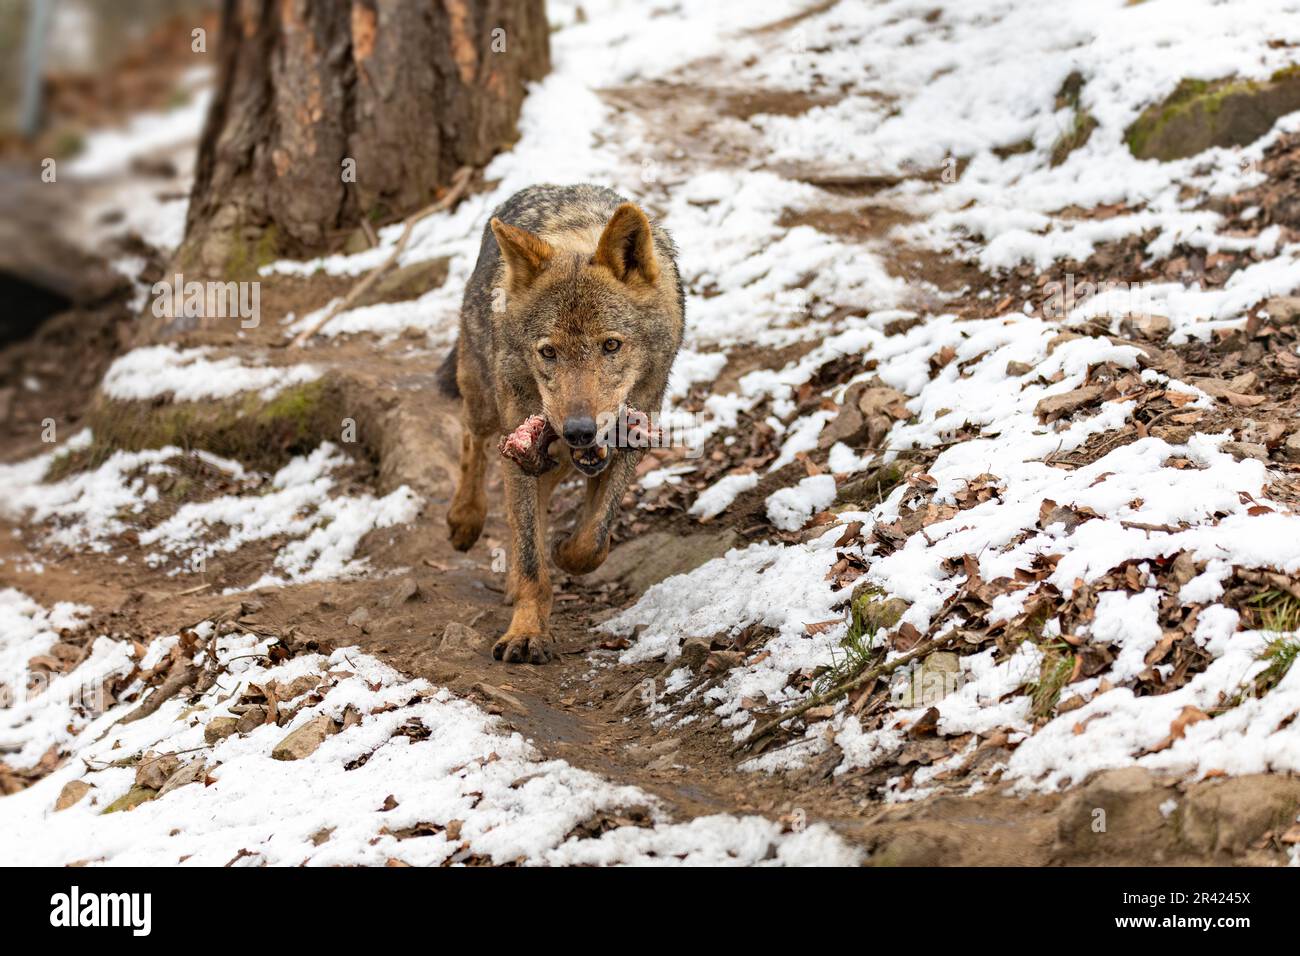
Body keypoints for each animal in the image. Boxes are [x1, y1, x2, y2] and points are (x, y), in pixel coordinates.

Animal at [438, 184, 684, 664]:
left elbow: (592, 541)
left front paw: (565, 550)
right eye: (548, 352)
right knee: (473, 445)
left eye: (611, 345)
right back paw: (464, 522)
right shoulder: (521, 442)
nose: (579, 430)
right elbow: (533, 558)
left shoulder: (636, 431)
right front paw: (527, 632)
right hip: (485, 401)